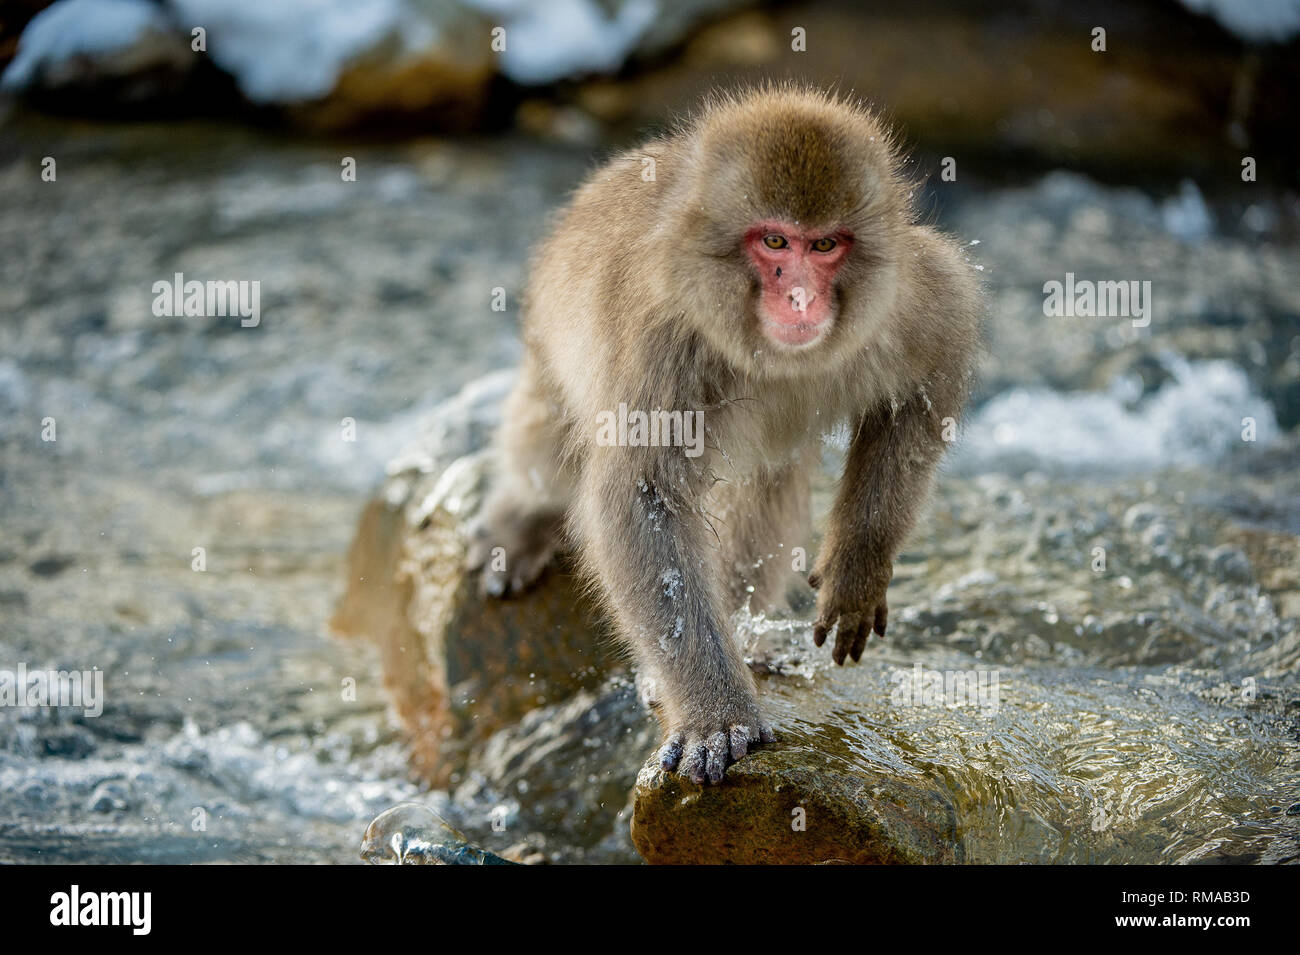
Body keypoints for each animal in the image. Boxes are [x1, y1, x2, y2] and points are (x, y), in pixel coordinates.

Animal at [467, 85, 981, 785]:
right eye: (775, 241)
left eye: (825, 246)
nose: (800, 298)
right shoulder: (664, 340)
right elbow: (642, 494)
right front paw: (714, 715)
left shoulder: (914, 297)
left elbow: (924, 398)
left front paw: (858, 563)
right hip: (550, 336)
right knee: (548, 448)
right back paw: (519, 519)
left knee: (769, 485)